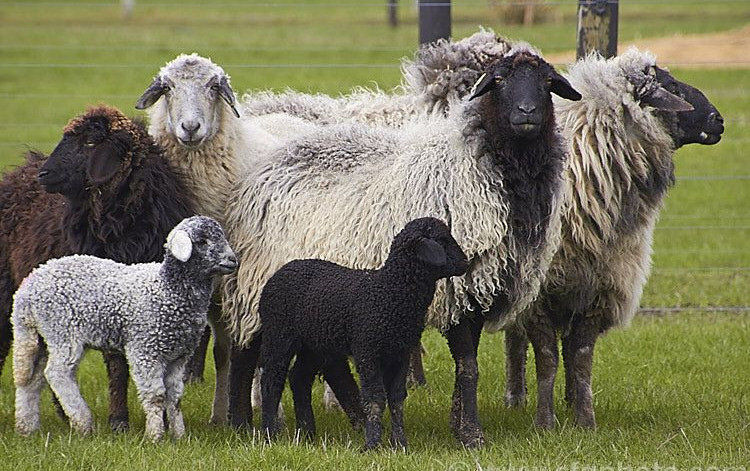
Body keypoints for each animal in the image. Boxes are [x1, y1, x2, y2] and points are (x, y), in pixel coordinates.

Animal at [13, 215, 237, 440]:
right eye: (202, 241)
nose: (233, 260)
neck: (166, 289)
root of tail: (26, 291)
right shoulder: (145, 350)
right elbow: (156, 395)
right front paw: (155, 435)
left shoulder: (178, 357)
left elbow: (175, 397)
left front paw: (179, 435)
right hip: (63, 332)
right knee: (57, 374)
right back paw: (83, 422)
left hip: (42, 337)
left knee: (32, 379)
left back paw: (27, 428)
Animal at [260, 217, 468, 450]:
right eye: (442, 239)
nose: (466, 263)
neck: (391, 291)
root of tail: (279, 273)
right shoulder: (367, 349)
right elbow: (374, 398)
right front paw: (372, 444)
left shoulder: (400, 352)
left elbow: (396, 398)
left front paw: (400, 444)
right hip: (279, 334)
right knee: (271, 381)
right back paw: (270, 434)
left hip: (315, 344)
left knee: (299, 378)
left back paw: (307, 433)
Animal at [502, 48, 726, 429]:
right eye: (669, 86)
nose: (718, 120)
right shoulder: (538, 298)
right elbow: (547, 358)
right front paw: (545, 423)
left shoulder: (599, 287)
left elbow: (580, 356)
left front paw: (584, 420)